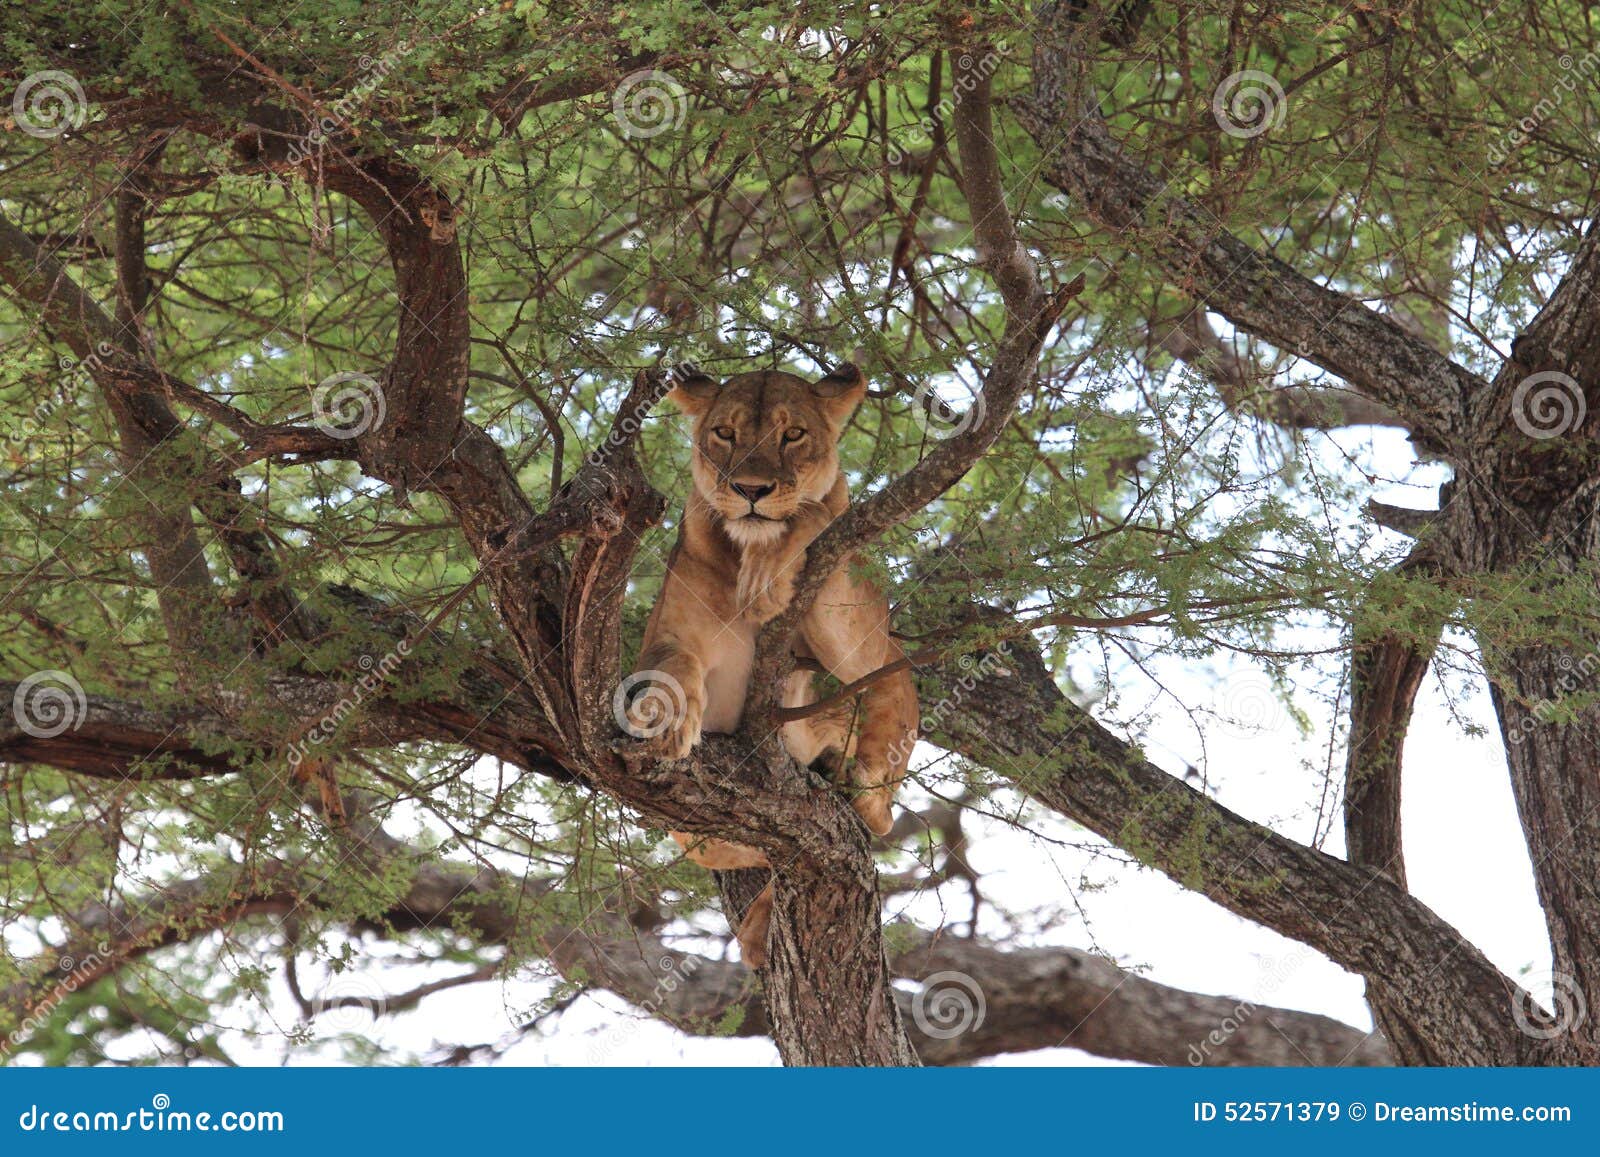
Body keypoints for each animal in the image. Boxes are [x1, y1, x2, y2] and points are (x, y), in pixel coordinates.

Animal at [626, 363, 920, 967]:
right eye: (725, 433)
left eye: (793, 435)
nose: (751, 491)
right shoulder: (667, 637)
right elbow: (671, 667)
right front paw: (669, 722)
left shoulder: (858, 630)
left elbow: (816, 513)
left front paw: (768, 575)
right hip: (695, 839)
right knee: (763, 856)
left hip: (888, 678)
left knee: (879, 808)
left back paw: (853, 782)